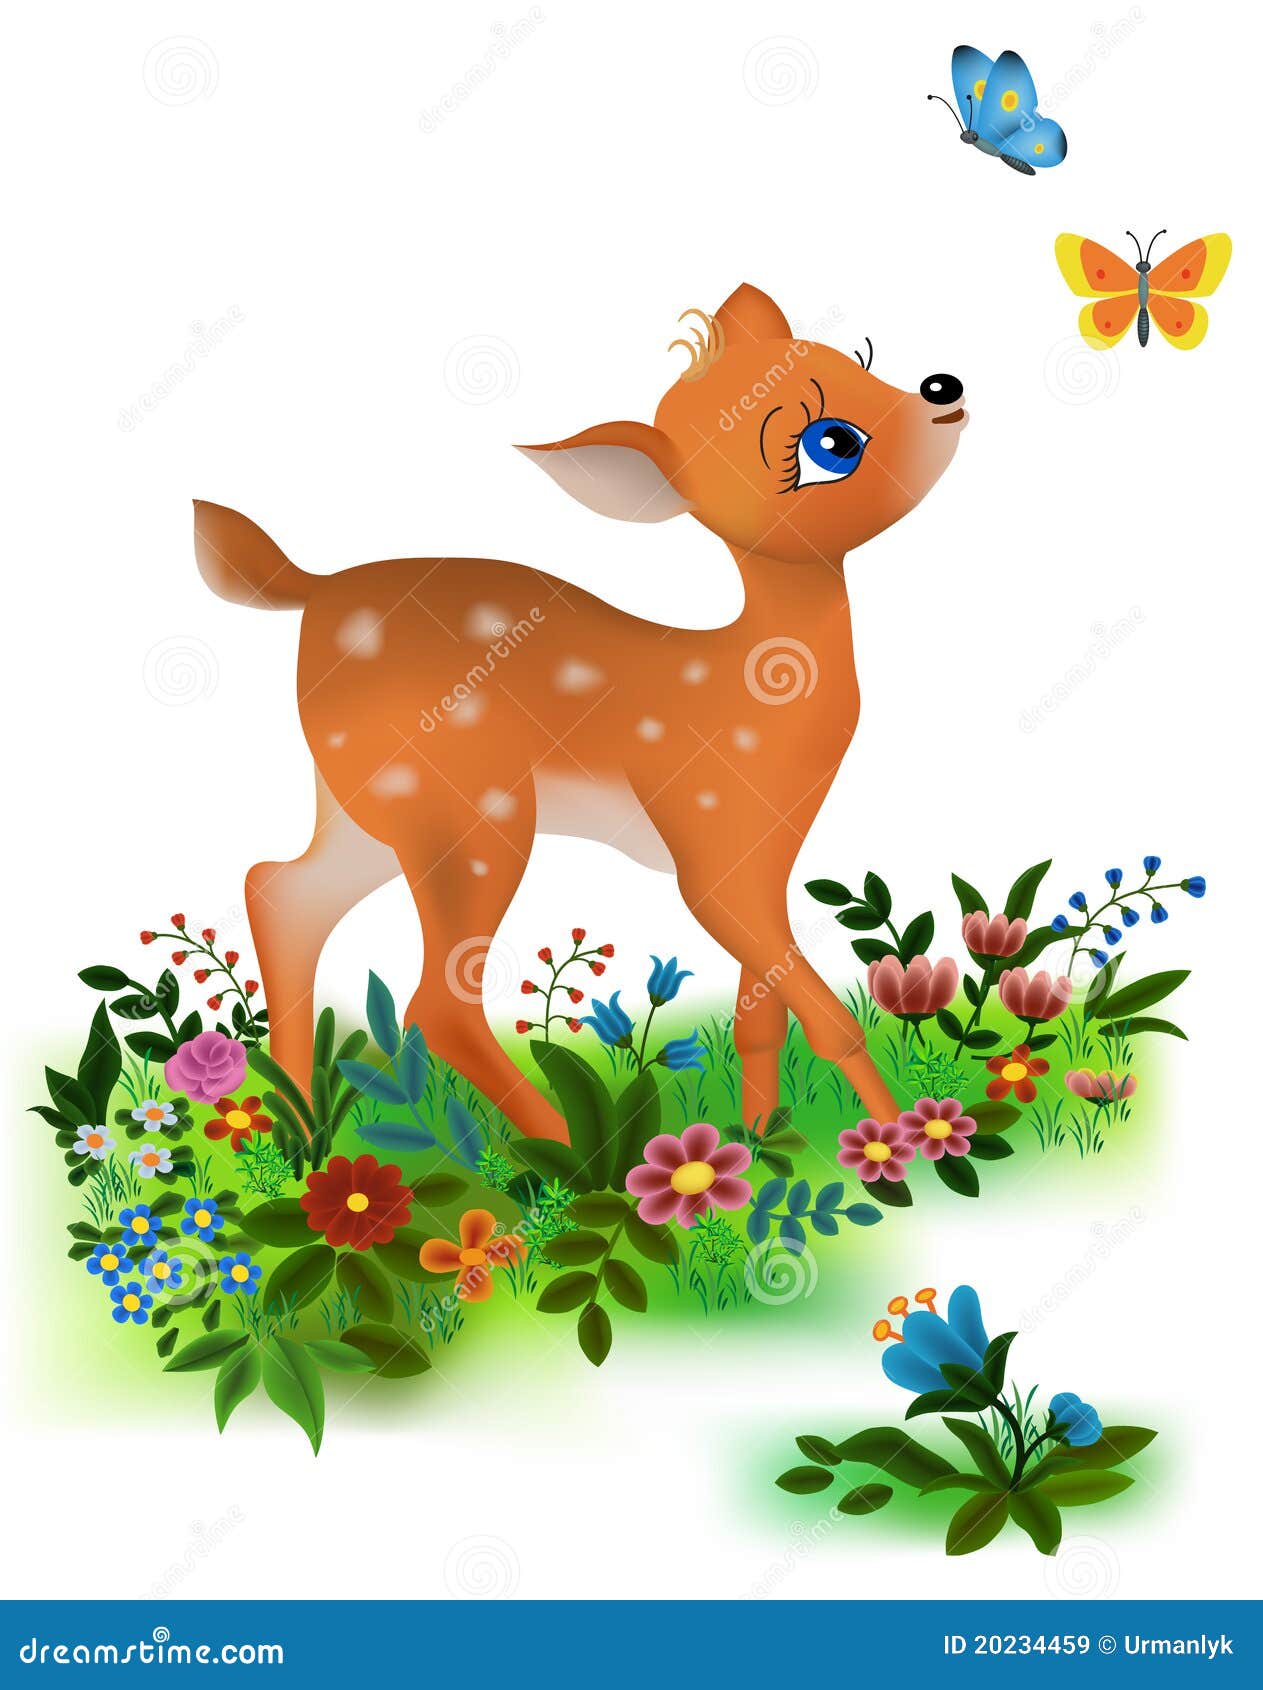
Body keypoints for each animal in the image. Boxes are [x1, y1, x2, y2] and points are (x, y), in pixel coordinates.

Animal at [193, 283, 968, 1145]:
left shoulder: (765, 849)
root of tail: (314, 588)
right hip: (466, 807)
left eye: (861, 359)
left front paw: (763, 1147)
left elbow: (757, 1018)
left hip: (368, 802)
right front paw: (906, 1143)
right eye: (831, 444)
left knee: (282, 891)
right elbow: (829, 1019)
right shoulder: (708, 846)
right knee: (436, 997)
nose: (942, 391)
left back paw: (299, 1136)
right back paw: (575, 1157)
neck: (753, 681)